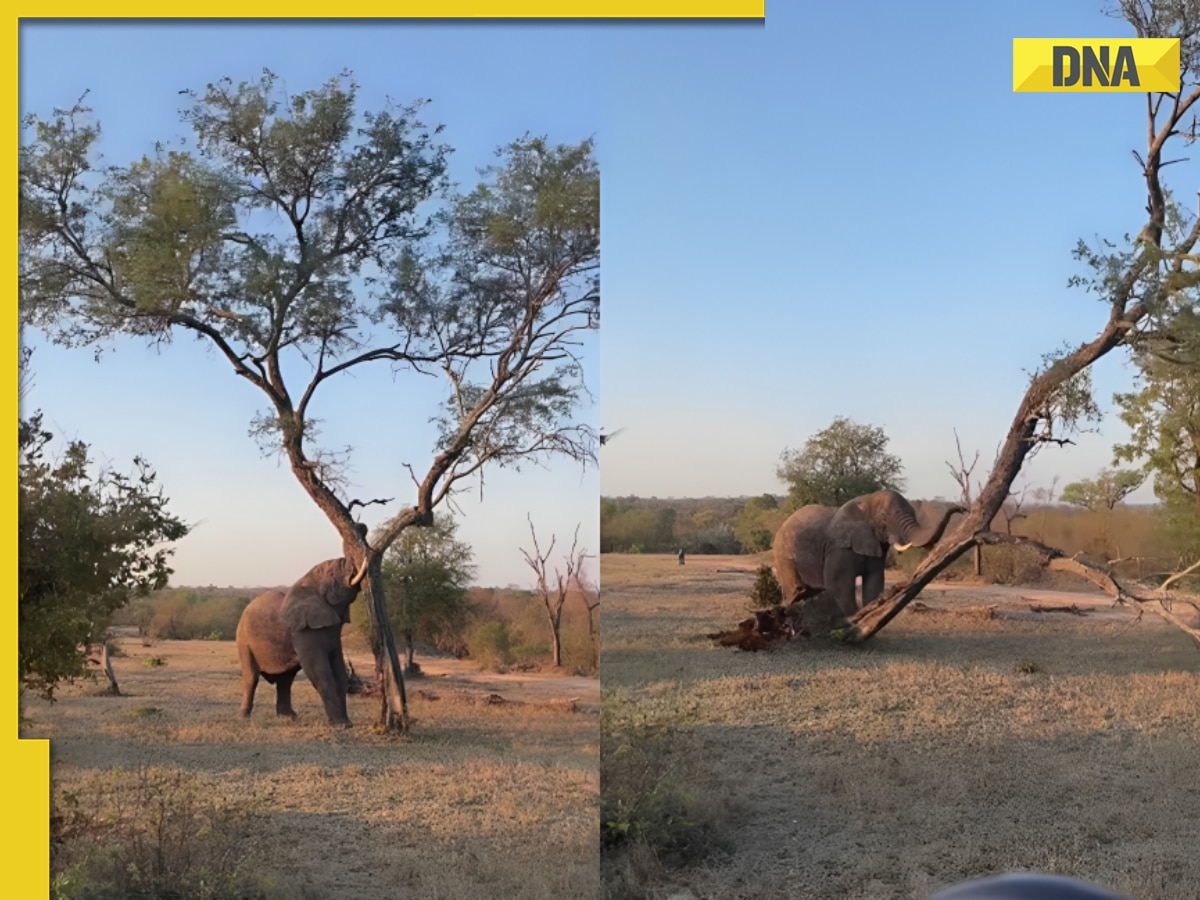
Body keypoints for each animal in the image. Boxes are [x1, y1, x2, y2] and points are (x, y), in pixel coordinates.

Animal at [236, 556, 364, 727]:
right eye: (331, 574)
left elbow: (339, 673)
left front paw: (347, 724)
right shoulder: (303, 630)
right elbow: (320, 672)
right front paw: (339, 725)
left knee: (286, 679)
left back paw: (289, 716)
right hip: (243, 640)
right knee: (251, 677)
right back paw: (244, 717)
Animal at [772, 490, 963, 624]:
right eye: (884, 518)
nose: (961, 508)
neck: (866, 501)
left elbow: (874, 582)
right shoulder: (839, 548)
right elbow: (839, 585)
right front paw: (852, 621)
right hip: (785, 558)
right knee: (794, 590)